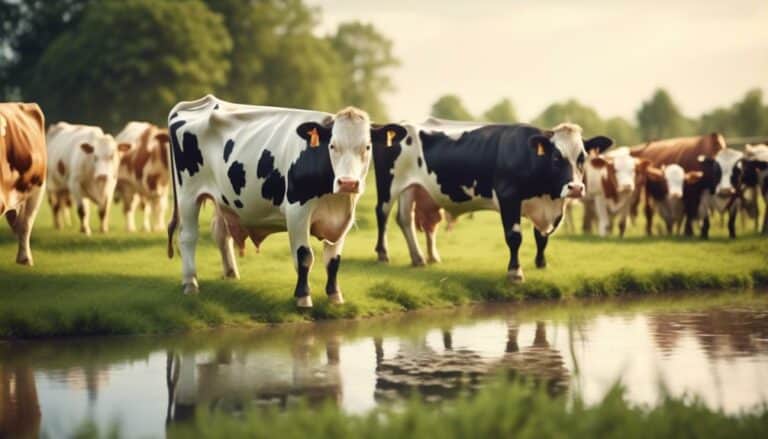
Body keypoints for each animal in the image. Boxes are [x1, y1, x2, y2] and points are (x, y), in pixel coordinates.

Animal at [166, 95, 405, 307]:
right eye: (332, 146)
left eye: (367, 147)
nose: (348, 183)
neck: (334, 198)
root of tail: (198, 102)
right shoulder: (297, 211)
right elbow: (304, 256)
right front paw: (303, 297)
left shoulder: (343, 218)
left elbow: (334, 260)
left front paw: (335, 296)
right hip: (188, 193)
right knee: (188, 236)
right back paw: (190, 283)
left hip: (224, 198)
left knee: (221, 233)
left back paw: (231, 274)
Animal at [372, 119, 613, 282]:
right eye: (556, 157)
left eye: (582, 158)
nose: (576, 188)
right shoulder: (508, 197)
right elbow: (514, 237)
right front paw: (515, 272)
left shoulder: (548, 208)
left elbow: (542, 237)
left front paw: (541, 264)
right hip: (388, 186)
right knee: (382, 213)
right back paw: (383, 254)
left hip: (411, 188)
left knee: (405, 219)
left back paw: (419, 258)